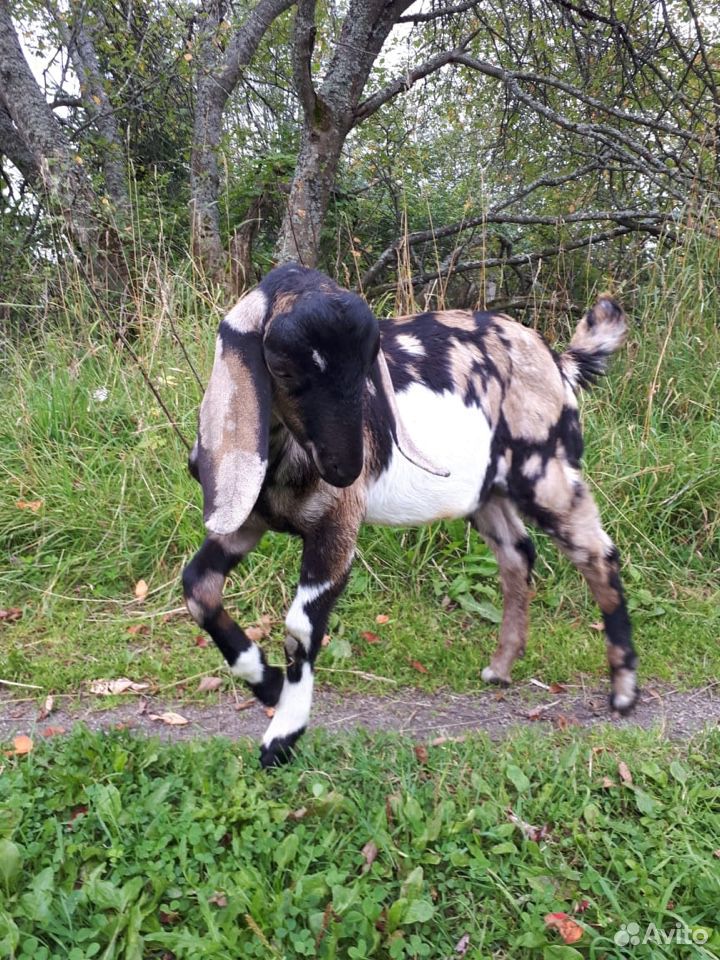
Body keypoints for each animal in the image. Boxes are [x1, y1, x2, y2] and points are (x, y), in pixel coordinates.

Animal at [183, 262, 638, 767]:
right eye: (281, 367)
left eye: (368, 363)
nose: (347, 468)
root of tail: (558, 362)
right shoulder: (247, 521)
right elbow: (198, 589)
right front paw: (267, 684)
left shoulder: (336, 526)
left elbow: (300, 628)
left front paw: (282, 737)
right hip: (486, 493)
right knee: (518, 554)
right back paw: (500, 668)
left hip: (545, 469)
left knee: (597, 554)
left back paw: (623, 692)